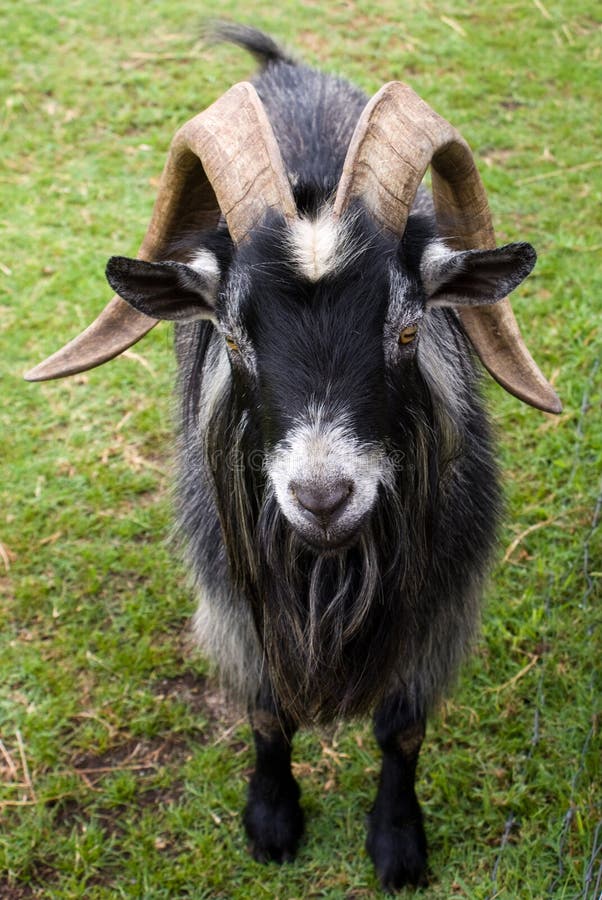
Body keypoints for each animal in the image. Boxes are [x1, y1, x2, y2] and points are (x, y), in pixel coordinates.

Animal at [25, 25, 561, 891]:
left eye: (407, 328)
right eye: (233, 335)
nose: (322, 496)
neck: (327, 569)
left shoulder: (437, 602)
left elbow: (401, 729)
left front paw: (398, 844)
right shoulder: (236, 596)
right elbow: (266, 712)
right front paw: (272, 821)